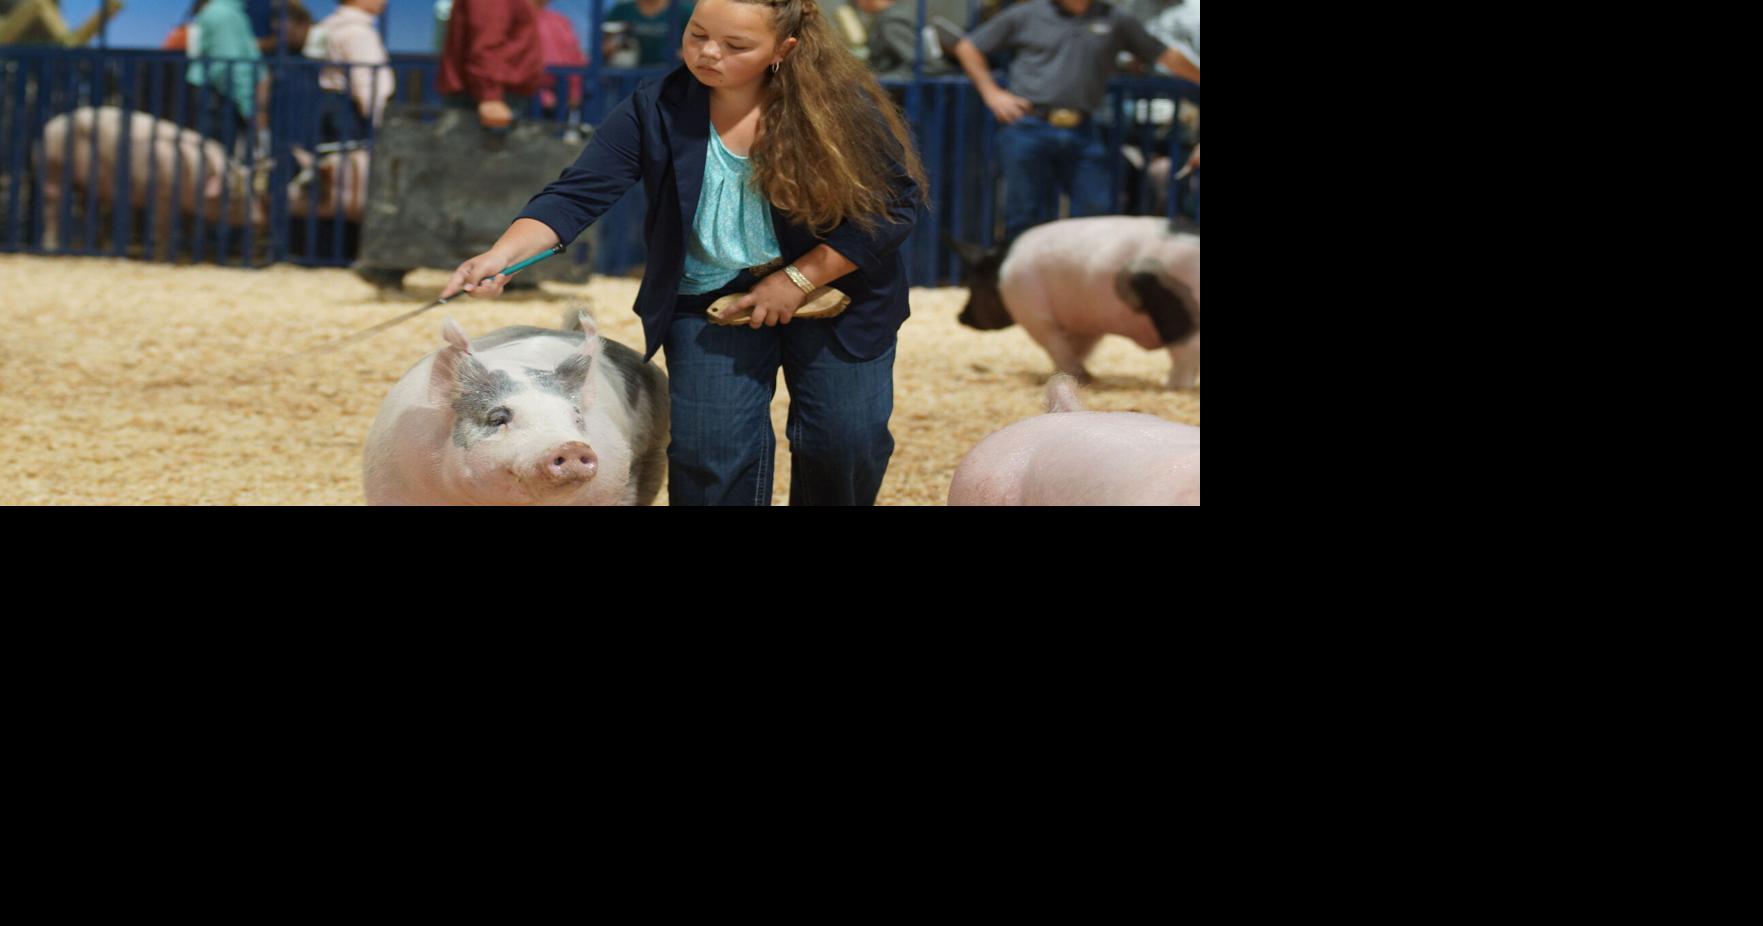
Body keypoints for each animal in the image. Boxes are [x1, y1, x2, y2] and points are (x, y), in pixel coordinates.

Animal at [950, 215, 1200, 389]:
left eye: (972, 283)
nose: (960, 317)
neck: (999, 273)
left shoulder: (1033, 314)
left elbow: (1055, 346)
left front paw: (1073, 374)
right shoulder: (1085, 324)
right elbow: (1080, 348)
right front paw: (1083, 377)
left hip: (1179, 317)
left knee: (1185, 355)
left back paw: (1172, 387)